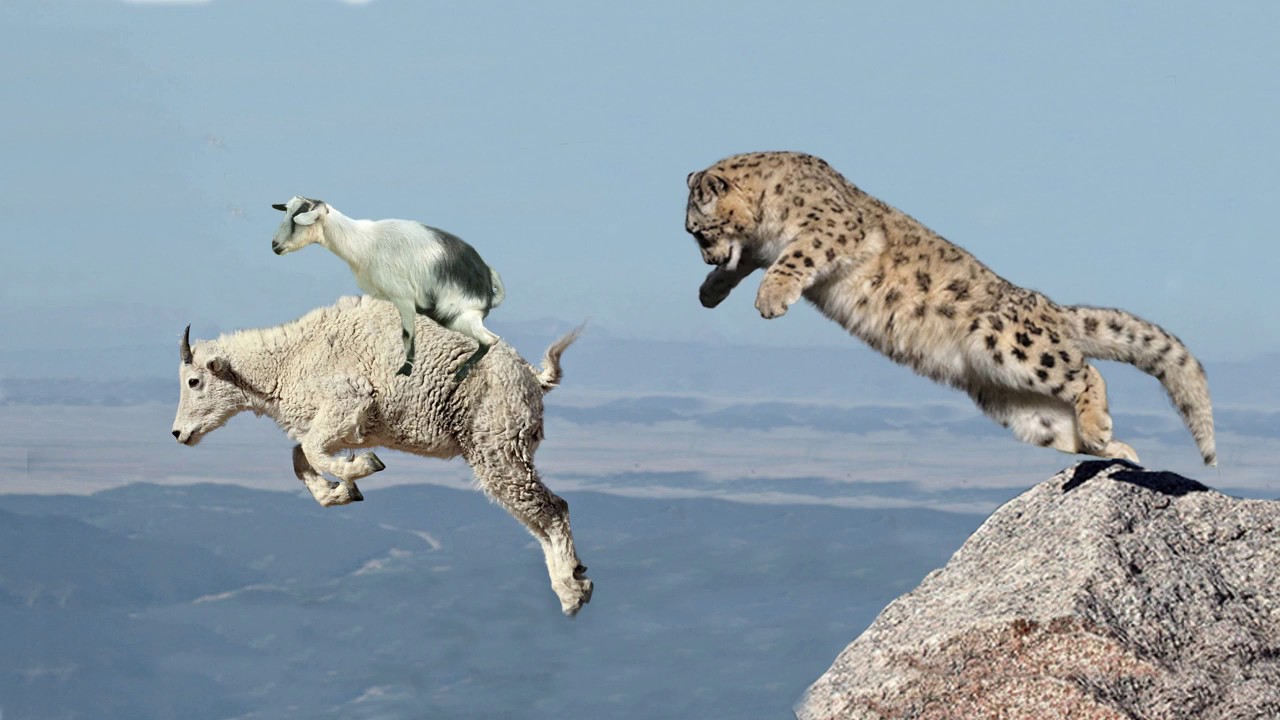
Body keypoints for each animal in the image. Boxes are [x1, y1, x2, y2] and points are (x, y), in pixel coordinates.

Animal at [684, 151, 1216, 466]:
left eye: (698, 231)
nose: (706, 258)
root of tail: (1049, 306)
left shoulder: (834, 229)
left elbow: (795, 257)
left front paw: (770, 298)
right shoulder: (758, 248)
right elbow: (746, 262)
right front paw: (712, 290)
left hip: (1012, 344)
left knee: (1086, 372)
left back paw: (1104, 430)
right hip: (1017, 404)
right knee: (1063, 427)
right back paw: (1114, 448)